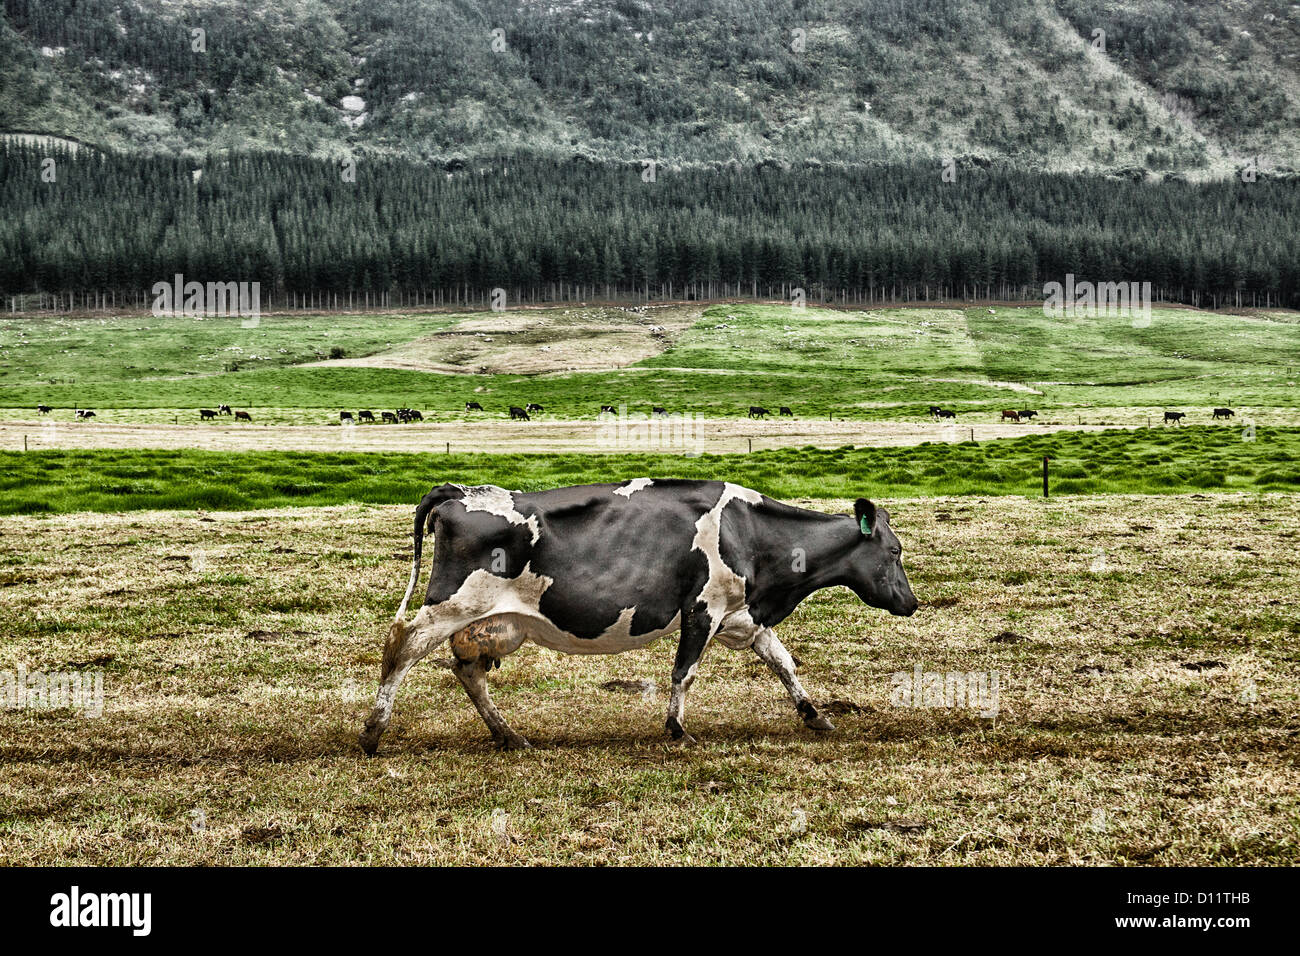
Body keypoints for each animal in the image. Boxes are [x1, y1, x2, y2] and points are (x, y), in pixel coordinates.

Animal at [358, 480, 917, 754]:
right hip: (451, 605)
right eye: (894, 551)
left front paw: (815, 715)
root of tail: (459, 492)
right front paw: (677, 730)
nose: (911, 603)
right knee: (401, 646)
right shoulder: (703, 608)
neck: (754, 535)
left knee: (468, 672)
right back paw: (373, 732)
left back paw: (508, 736)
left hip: (492, 624)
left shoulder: (745, 615)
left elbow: (783, 663)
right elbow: (684, 672)